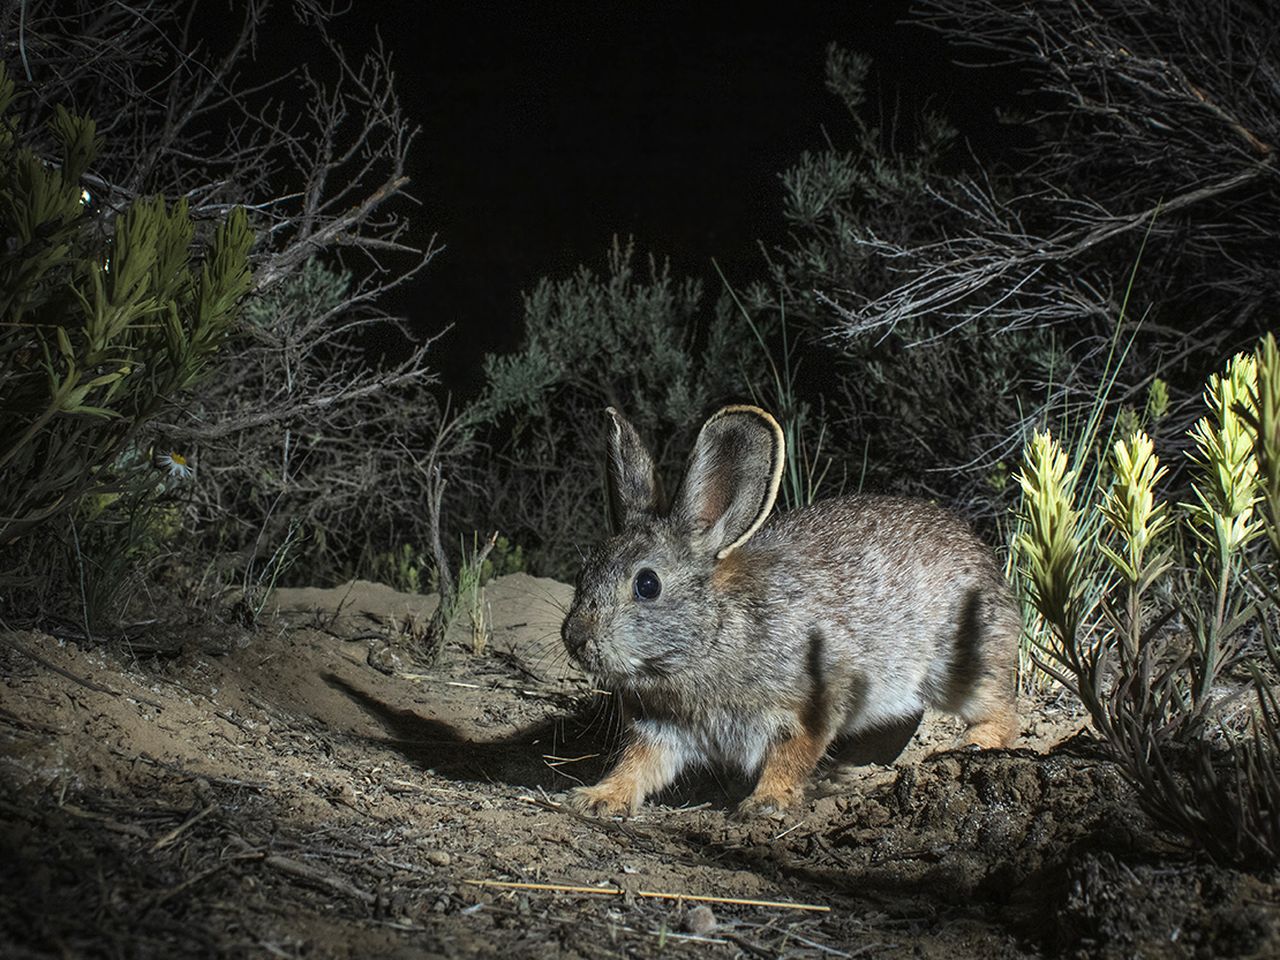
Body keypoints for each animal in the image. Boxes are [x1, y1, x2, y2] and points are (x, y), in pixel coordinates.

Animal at [560, 404, 1020, 818]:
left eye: (647, 584)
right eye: (585, 571)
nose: (575, 637)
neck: (713, 638)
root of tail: (983, 556)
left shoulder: (810, 705)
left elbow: (791, 756)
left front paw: (766, 801)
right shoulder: (662, 728)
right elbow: (638, 765)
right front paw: (598, 797)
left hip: (959, 667)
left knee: (999, 708)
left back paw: (973, 743)